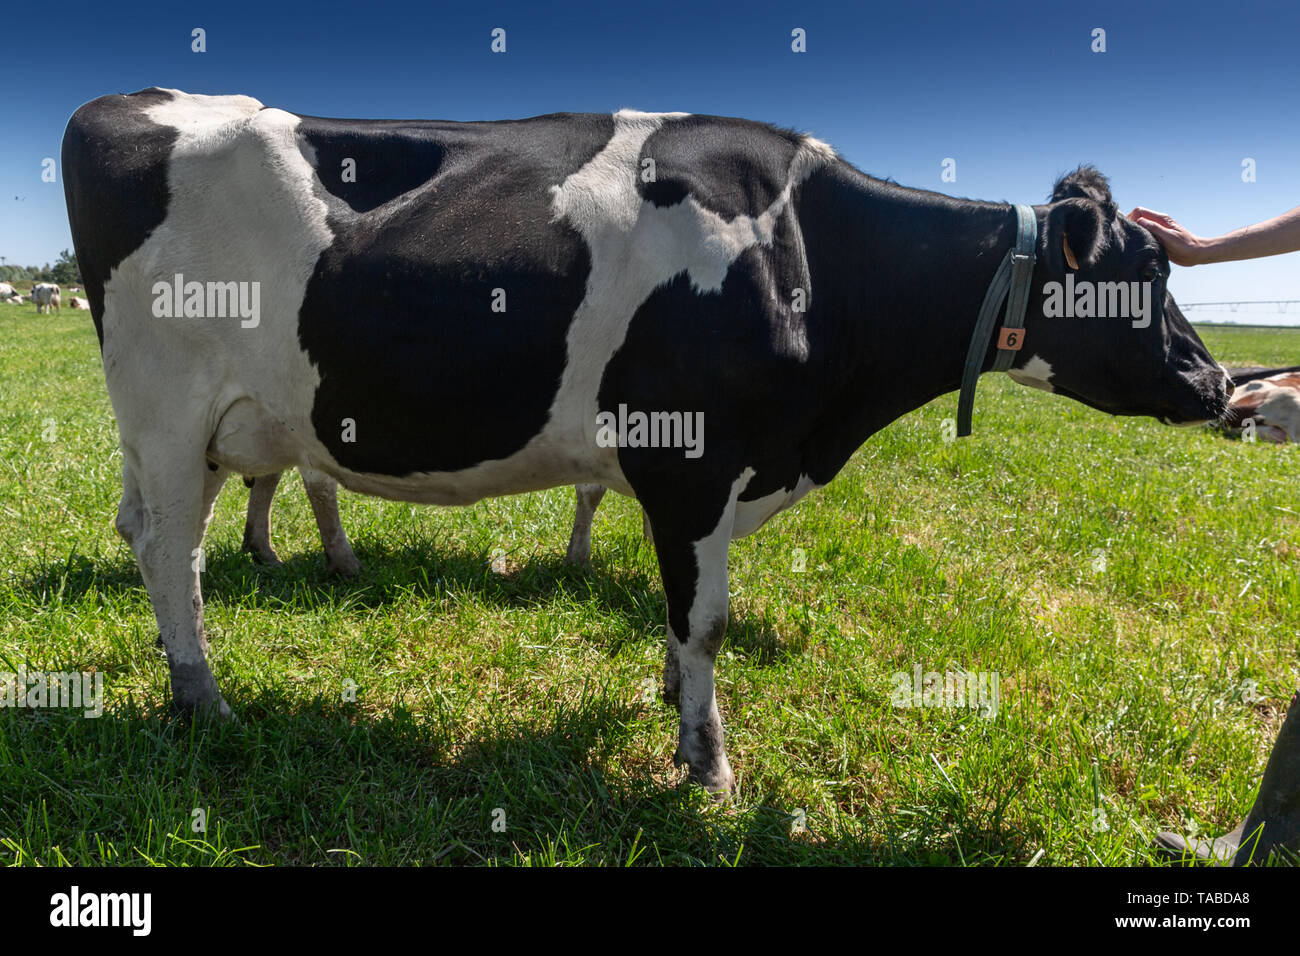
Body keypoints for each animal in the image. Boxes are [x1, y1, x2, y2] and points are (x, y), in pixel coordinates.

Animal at [62, 88, 1230, 795]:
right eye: (1143, 273)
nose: (1215, 381)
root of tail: (129, 103)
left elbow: (684, 614)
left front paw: (674, 699)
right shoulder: (695, 462)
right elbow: (706, 619)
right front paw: (706, 761)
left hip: (197, 430)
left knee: (153, 533)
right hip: (170, 409)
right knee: (170, 552)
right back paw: (202, 695)